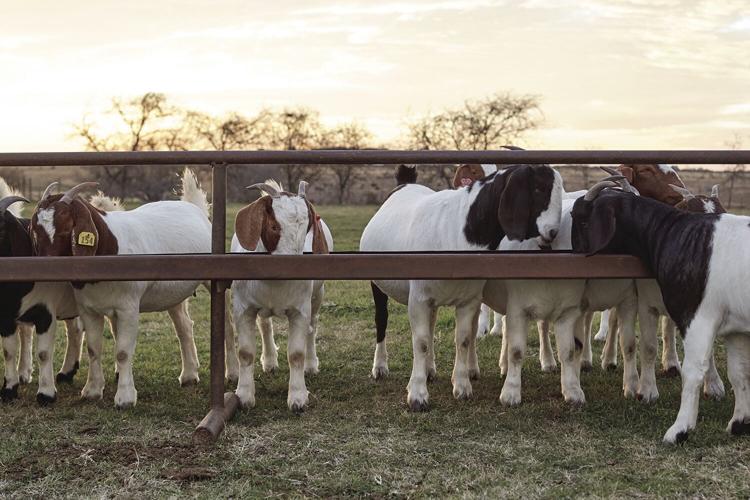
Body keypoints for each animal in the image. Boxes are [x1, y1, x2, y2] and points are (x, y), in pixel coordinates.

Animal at [29, 169, 215, 408]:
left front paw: (125, 398)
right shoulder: (89, 309)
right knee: (184, 327)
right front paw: (92, 390)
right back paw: (190, 375)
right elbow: (93, 349)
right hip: (174, 294)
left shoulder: (128, 309)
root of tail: (192, 206)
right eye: (35, 230)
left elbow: (123, 353)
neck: (110, 249)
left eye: (64, 230)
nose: (42, 269)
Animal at [231, 180, 332, 412]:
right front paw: (244, 396)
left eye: (307, 228)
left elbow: (296, 354)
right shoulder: (242, 308)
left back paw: (311, 365)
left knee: (313, 327)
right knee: (265, 325)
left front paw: (298, 398)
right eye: (274, 227)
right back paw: (269, 361)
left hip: (317, 295)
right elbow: (245, 353)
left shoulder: (300, 311)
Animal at [361, 163, 563, 410]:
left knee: (431, 326)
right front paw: (417, 395)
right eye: (538, 188)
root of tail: (405, 182)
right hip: (378, 284)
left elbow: (463, 339)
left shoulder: (468, 299)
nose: (552, 233)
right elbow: (420, 342)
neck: (459, 228)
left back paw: (429, 369)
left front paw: (462, 387)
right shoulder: (418, 298)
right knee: (382, 319)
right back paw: (380, 367)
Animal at [571, 182, 750, 443]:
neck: (678, 236)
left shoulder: (697, 317)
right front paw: (739, 423)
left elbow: (694, 371)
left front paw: (680, 429)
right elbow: (739, 373)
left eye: (582, 219)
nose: (574, 256)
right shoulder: (735, 328)